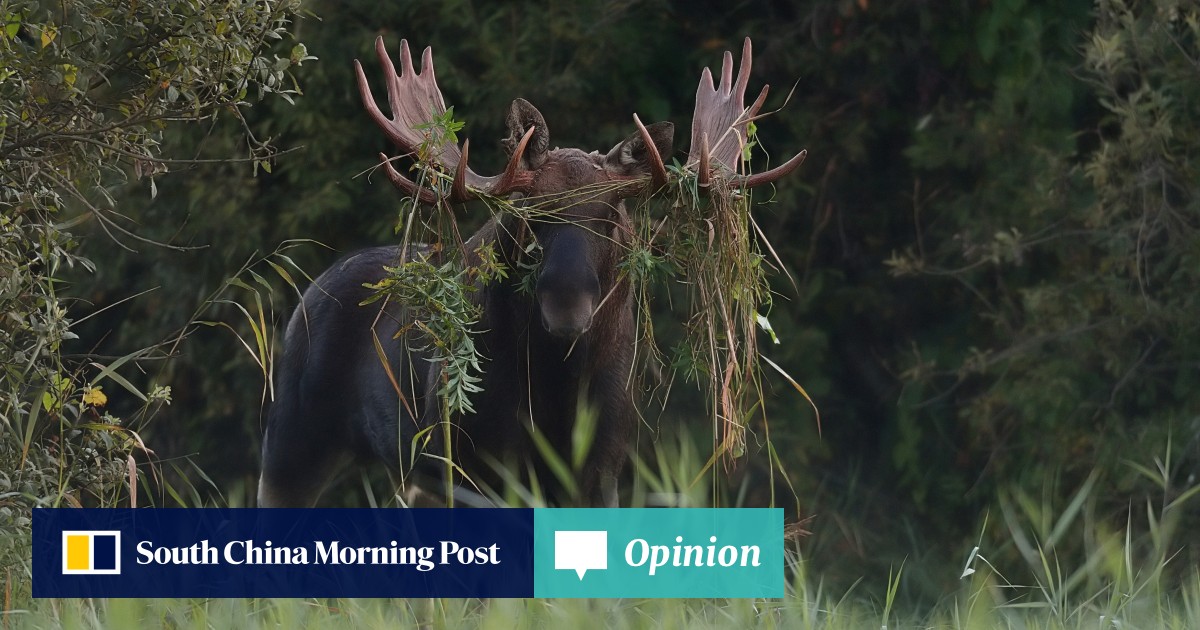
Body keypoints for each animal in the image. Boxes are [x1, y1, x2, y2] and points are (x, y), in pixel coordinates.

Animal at [256, 36, 806, 508]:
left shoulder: (602, 466)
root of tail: (308, 294)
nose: (566, 306)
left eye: (612, 215)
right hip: (293, 439)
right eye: (529, 212)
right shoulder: (478, 464)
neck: (558, 386)